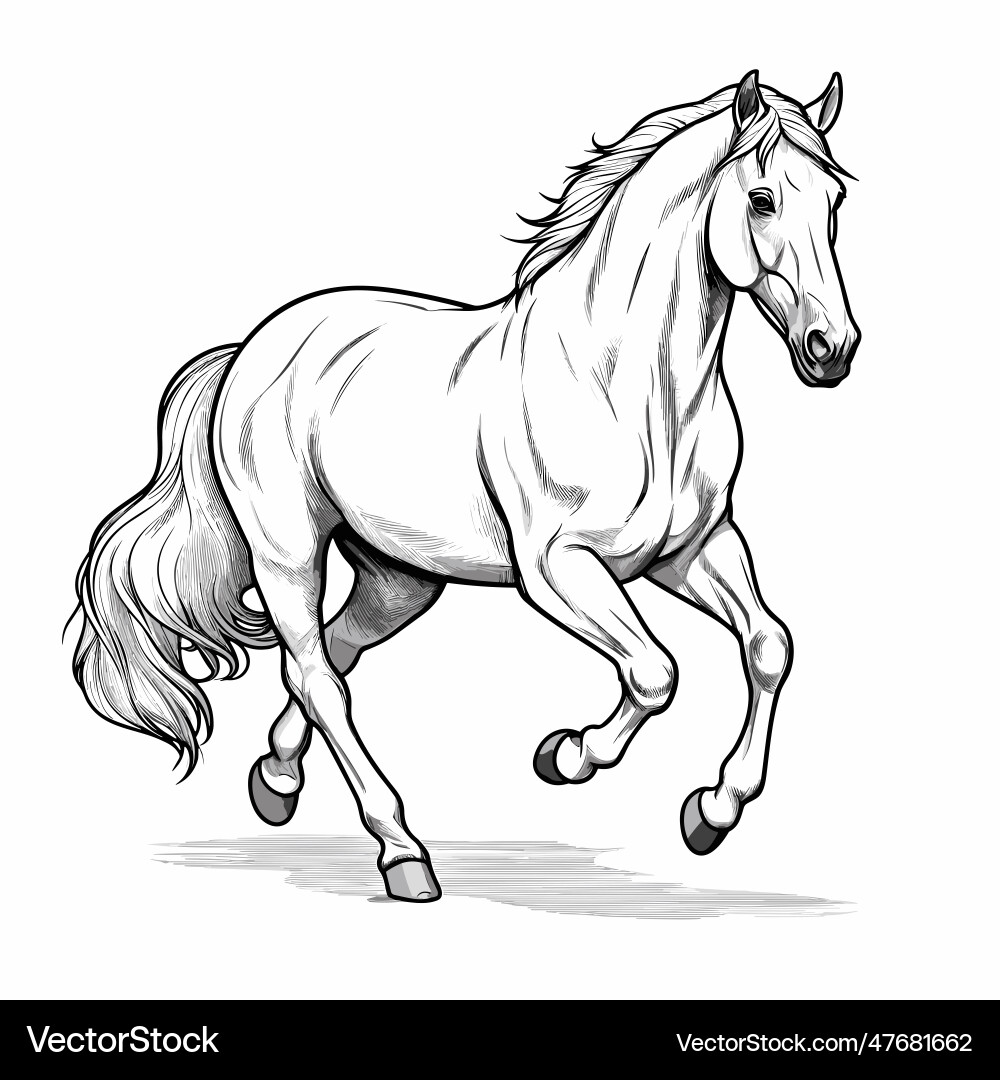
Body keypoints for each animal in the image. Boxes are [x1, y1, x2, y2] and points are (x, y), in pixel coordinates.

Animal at [72, 71, 860, 903]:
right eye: (762, 198)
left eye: (835, 199)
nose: (832, 348)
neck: (631, 392)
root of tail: (252, 349)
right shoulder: (558, 568)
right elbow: (655, 671)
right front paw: (567, 755)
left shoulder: (693, 549)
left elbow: (769, 646)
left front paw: (711, 812)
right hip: (287, 556)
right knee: (321, 680)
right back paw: (403, 855)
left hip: (400, 578)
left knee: (329, 658)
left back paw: (277, 782)